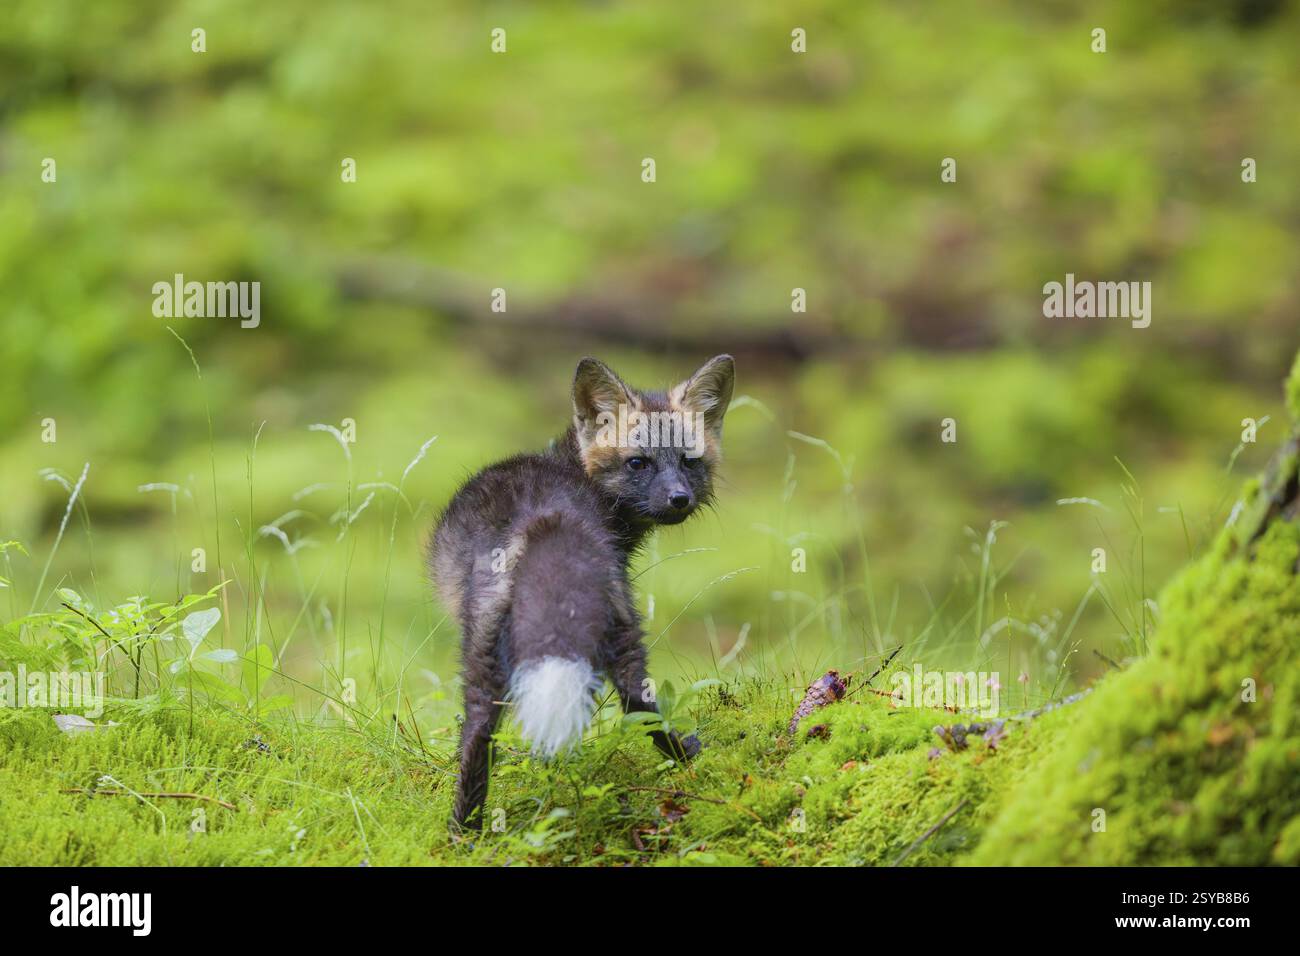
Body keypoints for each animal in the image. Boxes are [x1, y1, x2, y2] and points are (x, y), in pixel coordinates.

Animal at [429, 354, 735, 830]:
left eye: (689, 462)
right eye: (638, 463)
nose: (679, 499)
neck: (578, 475)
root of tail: (546, 517)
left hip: (497, 651)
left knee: (481, 733)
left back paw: (465, 832)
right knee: (632, 703)